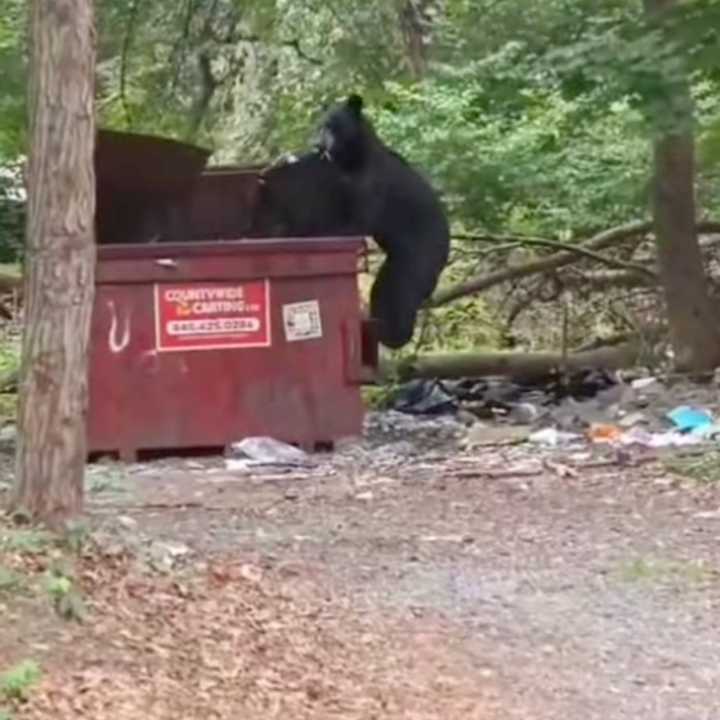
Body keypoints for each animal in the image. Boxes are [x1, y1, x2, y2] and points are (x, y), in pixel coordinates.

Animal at [315, 93, 450, 349]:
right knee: (382, 290)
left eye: (333, 125)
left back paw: (390, 331)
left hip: (418, 257)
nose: (317, 145)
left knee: (398, 294)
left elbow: (357, 221)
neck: (352, 158)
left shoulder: (372, 182)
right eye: (318, 125)